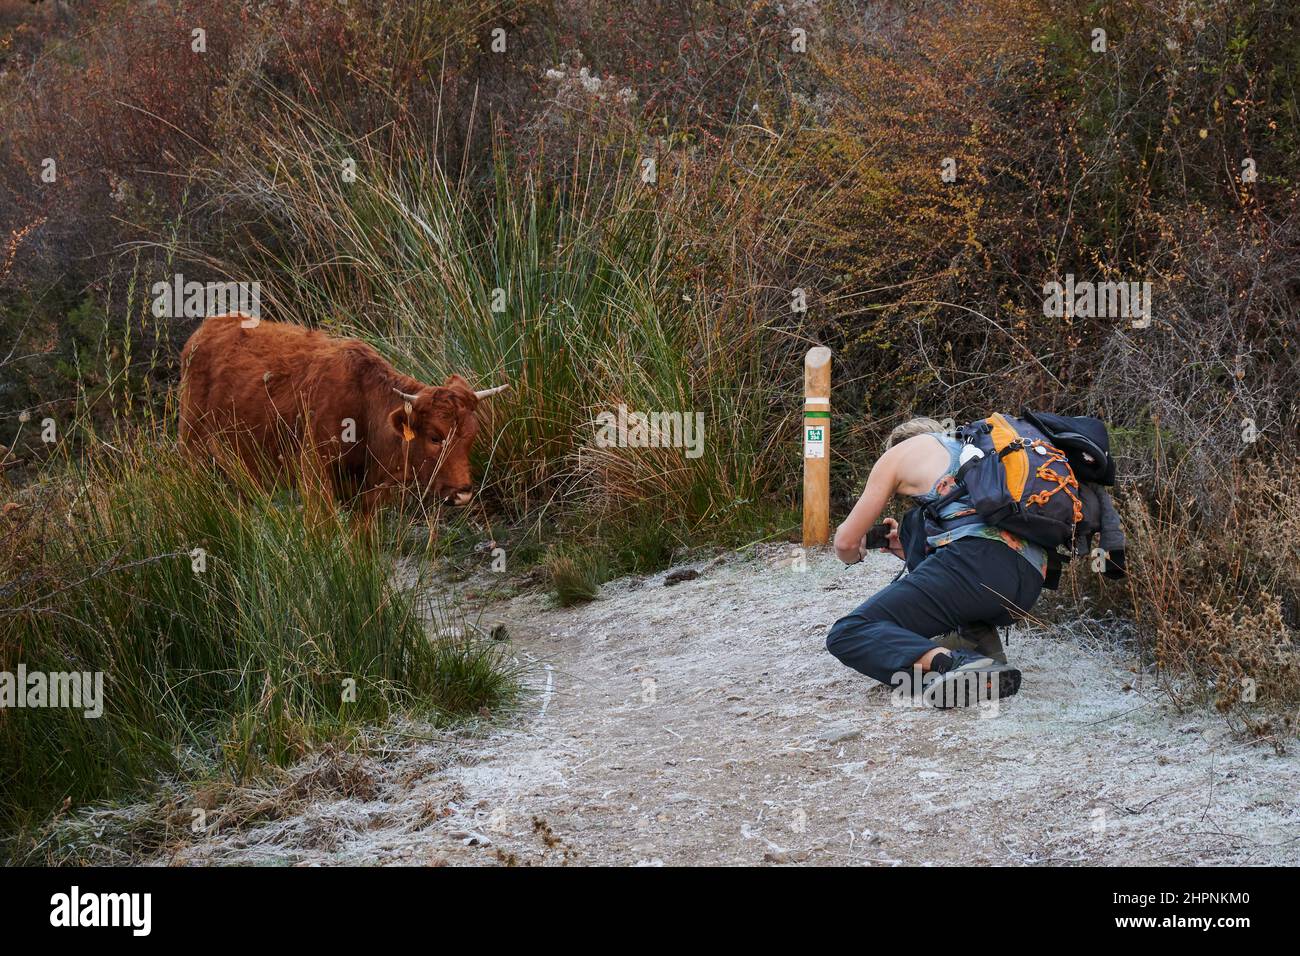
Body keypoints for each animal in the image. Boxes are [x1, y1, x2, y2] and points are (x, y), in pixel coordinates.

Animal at [178, 314, 507, 516]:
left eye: (471, 437)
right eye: (435, 437)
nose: (463, 493)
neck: (363, 404)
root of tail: (207, 329)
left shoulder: (365, 496)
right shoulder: (314, 481)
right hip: (194, 452)